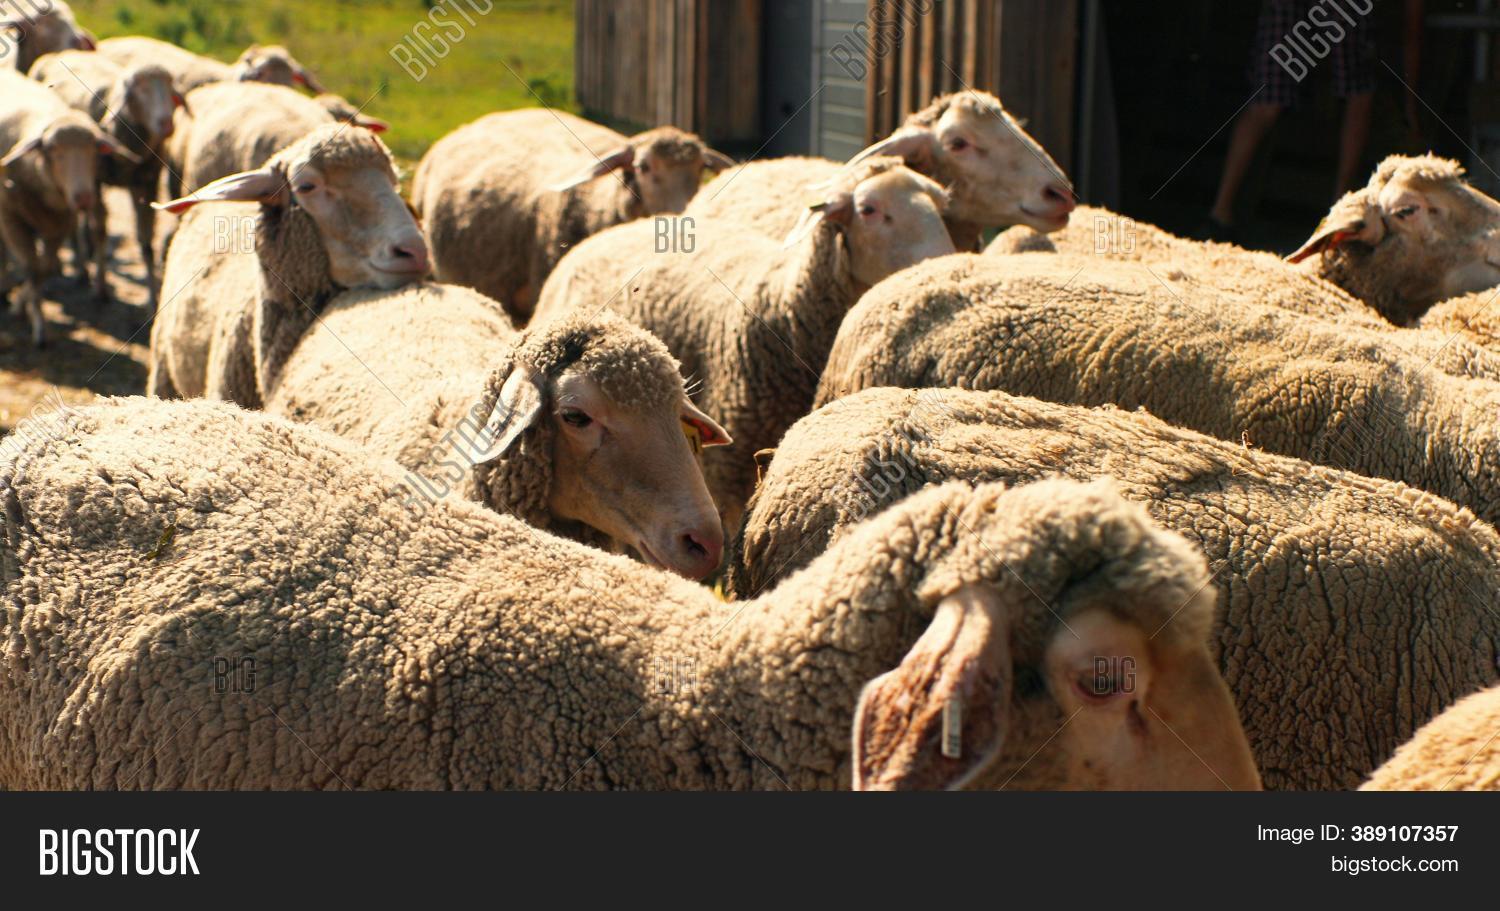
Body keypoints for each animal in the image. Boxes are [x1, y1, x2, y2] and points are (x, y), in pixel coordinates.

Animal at [0, 68, 135, 346]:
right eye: (52, 149)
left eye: (95, 149)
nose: (83, 197)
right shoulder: (10, 218)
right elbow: (32, 269)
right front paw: (37, 327)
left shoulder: (60, 224)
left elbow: (43, 269)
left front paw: (25, 307)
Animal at [28, 49, 181, 308]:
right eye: (139, 88)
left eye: (170, 85)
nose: (166, 123)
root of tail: (60, 52)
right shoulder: (95, 182)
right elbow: (99, 232)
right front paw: (100, 288)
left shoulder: (146, 183)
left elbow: (146, 241)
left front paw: (153, 296)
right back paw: (74, 269)